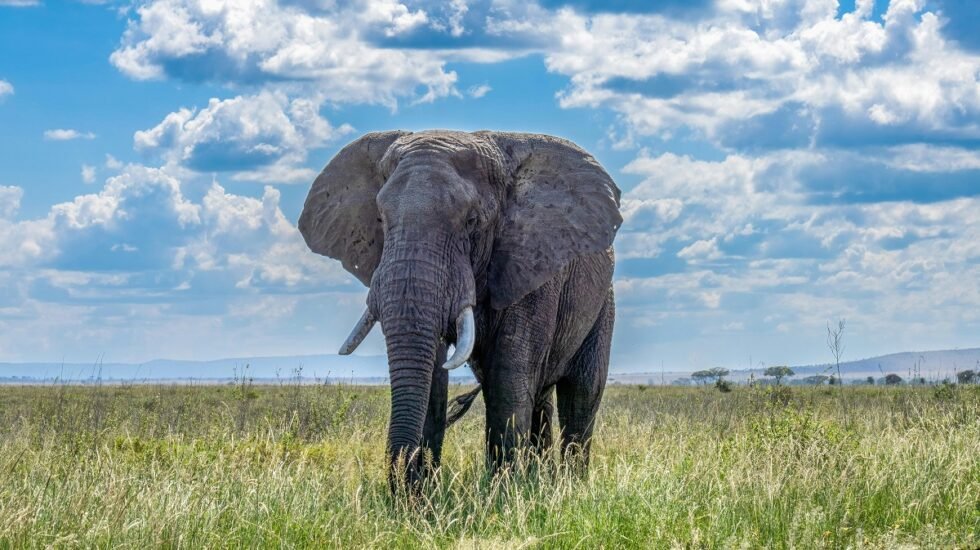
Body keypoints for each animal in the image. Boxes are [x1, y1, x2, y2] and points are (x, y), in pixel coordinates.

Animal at [298, 130, 621, 487]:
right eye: (380, 219)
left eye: (472, 221)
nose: (403, 492)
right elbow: (434, 381)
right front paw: (425, 495)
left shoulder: (533, 265)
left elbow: (507, 380)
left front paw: (503, 494)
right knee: (540, 397)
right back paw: (541, 478)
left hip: (603, 302)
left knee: (582, 391)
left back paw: (567, 483)